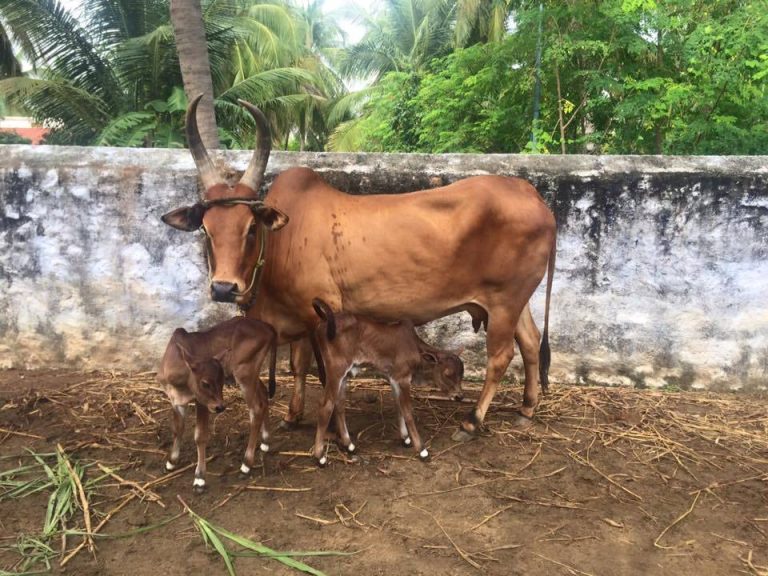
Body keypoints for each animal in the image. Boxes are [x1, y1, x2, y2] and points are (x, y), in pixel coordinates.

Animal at [157, 316, 276, 492]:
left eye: (221, 383)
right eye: (205, 383)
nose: (220, 407)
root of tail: (267, 326)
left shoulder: (201, 402)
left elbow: (200, 436)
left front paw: (200, 478)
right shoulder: (175, 400)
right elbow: (177, 429)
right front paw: (171, 462)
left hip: (244, 373)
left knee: (256, 408)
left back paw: (246, 464)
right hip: (251, 374)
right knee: (263, 393)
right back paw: (266, 441)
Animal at [161, 95, 556, 443]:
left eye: (250, 228)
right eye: (206, 229)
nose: (224, 288)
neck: (282, 240)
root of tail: (534, 197)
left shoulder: (324, 313)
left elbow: (326, 373)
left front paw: (334, 428)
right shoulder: (299, 318)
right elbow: (299, 365)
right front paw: (292, 415)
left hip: (504, 302)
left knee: (501, 357)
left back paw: (472, 421)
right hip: (514, 300)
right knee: (530, 342)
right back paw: (526, 408)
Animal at [309, 298, 464, 465]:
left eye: (461, 374)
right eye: (447, 374)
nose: (459, 396)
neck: (415, 348)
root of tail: (325, 321)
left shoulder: (394, 378)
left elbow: (399, 406)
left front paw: (405, 438)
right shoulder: (403, 378)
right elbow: (408, 412)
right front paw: (422, 449)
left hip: (343, 375)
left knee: (339, 404)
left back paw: (349, 445)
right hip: (336, 370)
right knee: (325, 406)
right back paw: (320, 456)